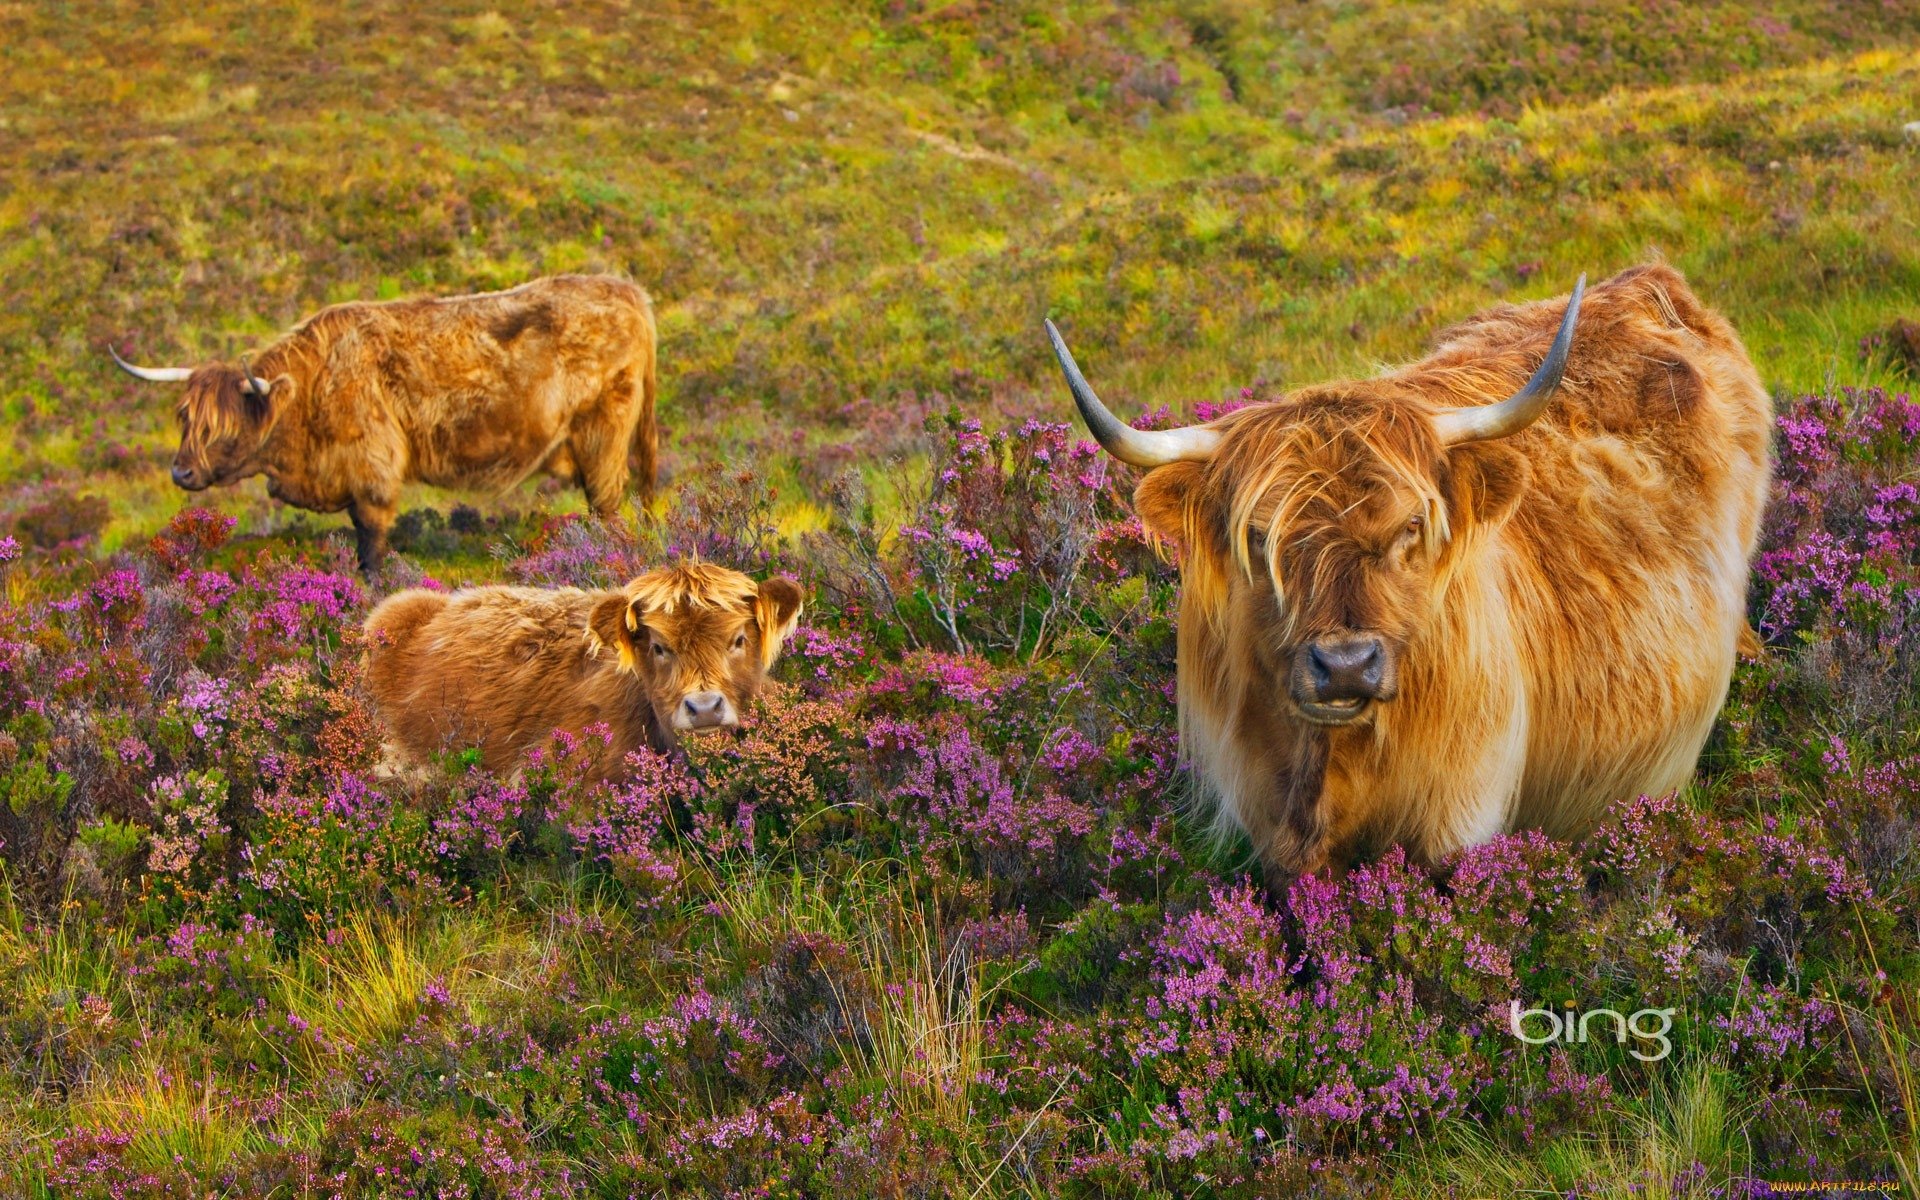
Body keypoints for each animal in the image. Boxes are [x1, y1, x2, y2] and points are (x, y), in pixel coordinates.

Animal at [110, 274, 658, 573]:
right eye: (185, 418)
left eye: (220, 427)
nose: (180, 472)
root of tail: (628, 291)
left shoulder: (371, 463)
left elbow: (370, 538)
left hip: (602, 433)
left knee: (608, 505)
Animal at [1044, 263, 1771, 890]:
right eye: (1258, 537)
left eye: (1411, 528)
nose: (1344, 666)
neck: (1329, 767)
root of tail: (1647, 279)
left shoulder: (1460, 819)